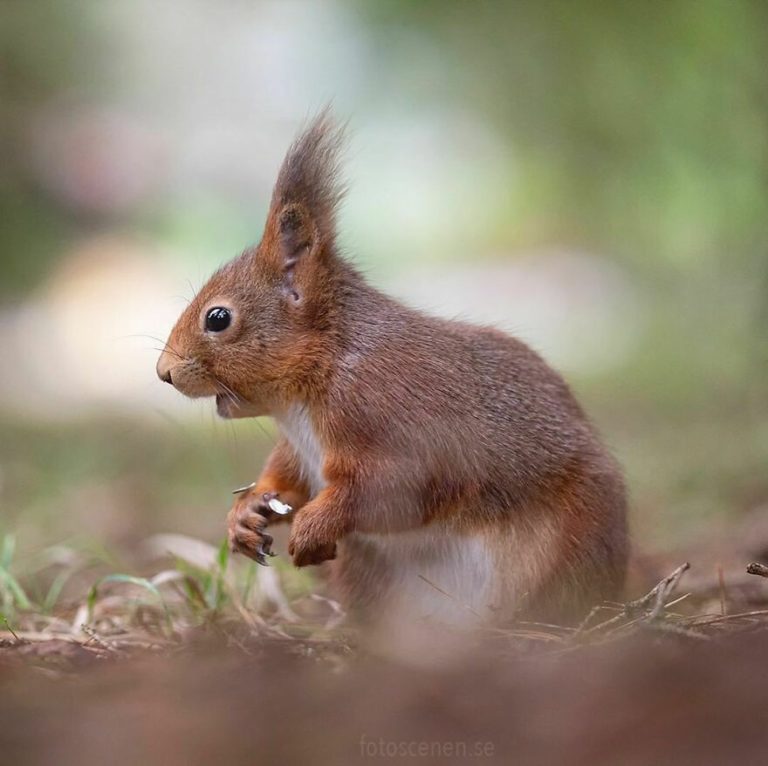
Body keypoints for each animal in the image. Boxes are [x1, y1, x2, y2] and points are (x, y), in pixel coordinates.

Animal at [156, 110, 628, 627]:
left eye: (218, 318)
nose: (164, 372)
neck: (322, 376)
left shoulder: (398, 424)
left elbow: (386, 490)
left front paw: (312, 526)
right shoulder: (299, 449)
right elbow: (286, 478)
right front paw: (245, 513)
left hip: (572, 544)